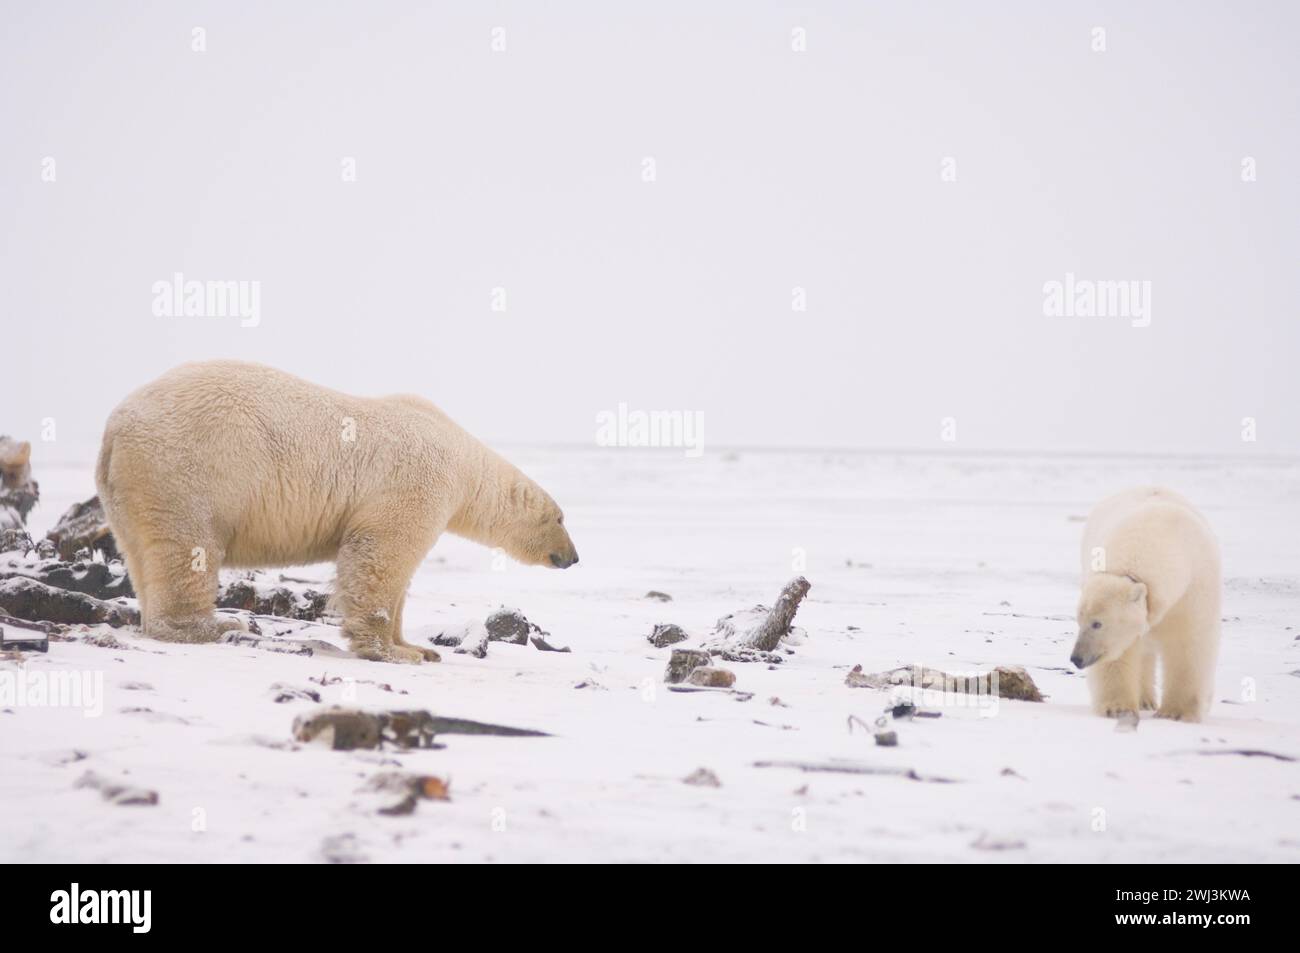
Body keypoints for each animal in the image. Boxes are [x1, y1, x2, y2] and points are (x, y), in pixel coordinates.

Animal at [95, 360, 578, 664]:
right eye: (560, 519)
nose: (573, 557)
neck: (463, 457)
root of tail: (115, 427)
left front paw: (418, 646)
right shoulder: (417, 483)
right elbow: (382, 553)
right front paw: (393, 650)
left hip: (131, 492)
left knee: (143, 551)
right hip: (192, 468)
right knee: (190, 545)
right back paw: (213, 626)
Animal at [1069, 486, 1221, 721]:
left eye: (1097, 623)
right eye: (1079, 621)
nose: (1077, 658)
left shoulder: (1193, 587)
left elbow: (1189, 642)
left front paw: (1176, 712)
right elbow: (1122, 653)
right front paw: (1118, 708)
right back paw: (1145, 700)